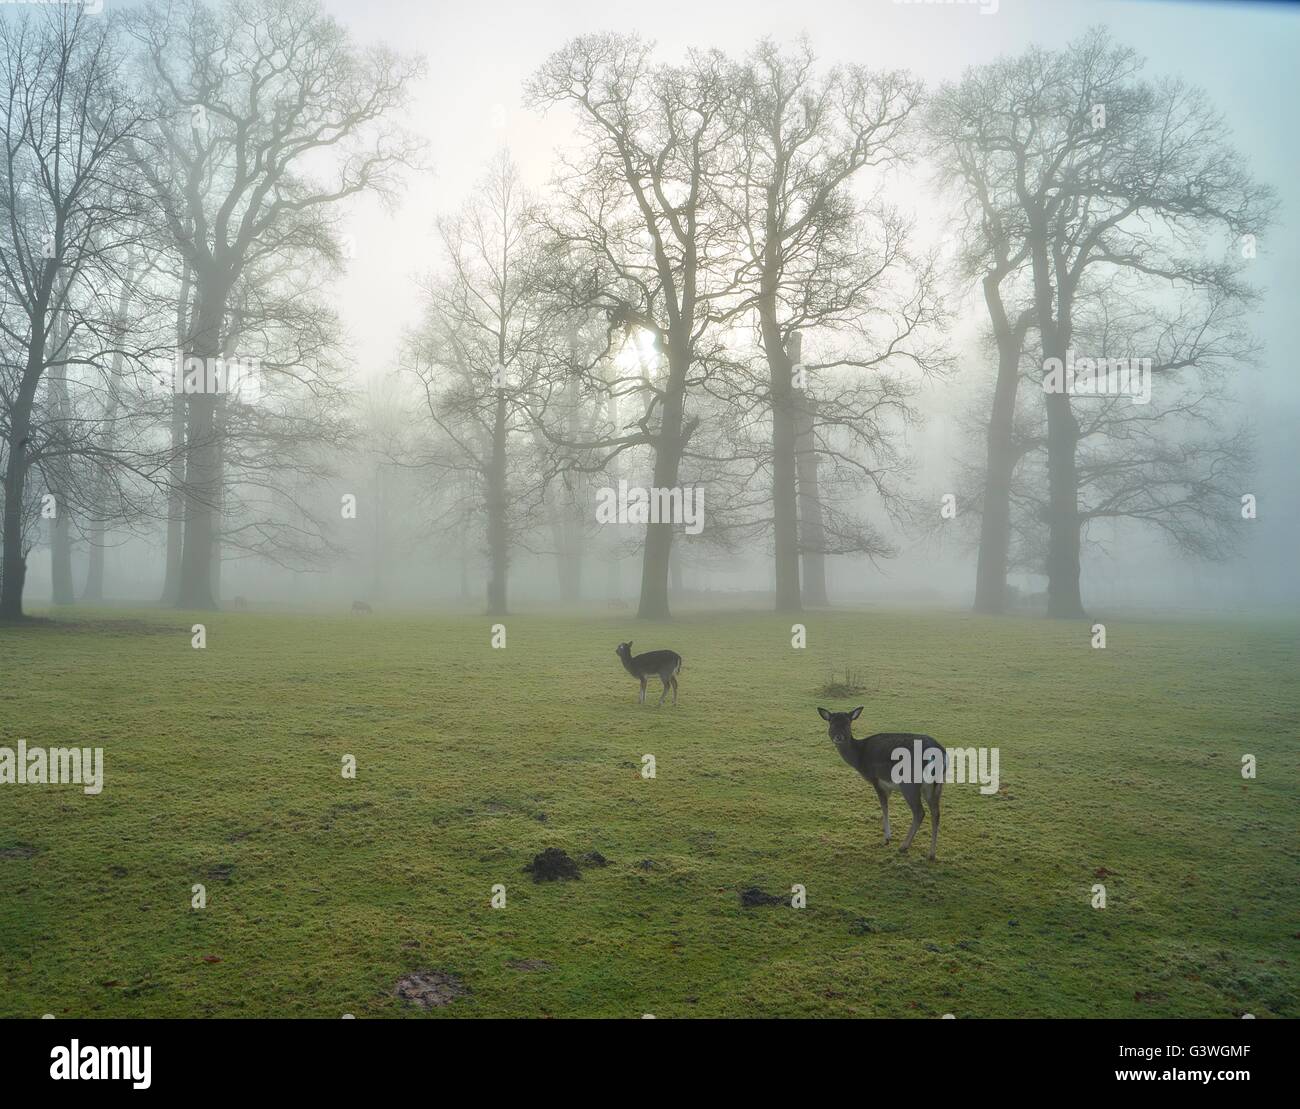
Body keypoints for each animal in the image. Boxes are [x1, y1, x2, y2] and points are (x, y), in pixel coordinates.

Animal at [817, 706, 946, 861]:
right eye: (831, 723)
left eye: (848, 723)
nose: (839, 737)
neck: (860, 758)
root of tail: (939, 753)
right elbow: (886, 807)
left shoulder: (876, 780)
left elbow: (884, 807)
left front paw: (887, 838)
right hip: (936, 786)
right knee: (936, 812)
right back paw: (931, 854)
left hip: (910, 784)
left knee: (919, 812)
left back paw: (904, 846)